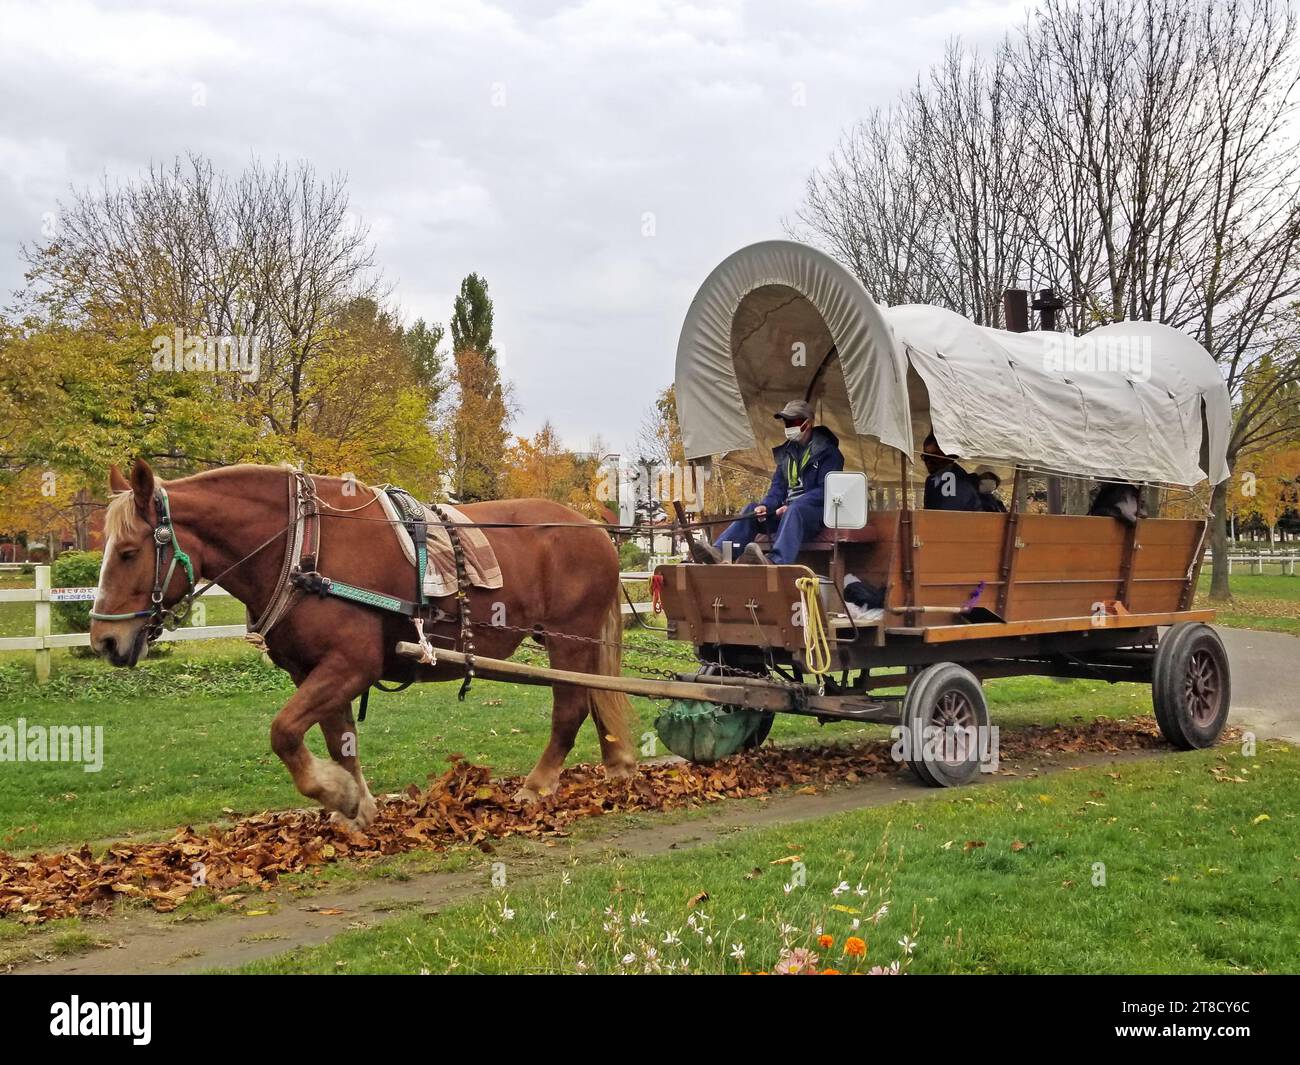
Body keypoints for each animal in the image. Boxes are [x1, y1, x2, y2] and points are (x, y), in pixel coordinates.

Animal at [89, 459, 639, 828]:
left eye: (129, 552)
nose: (104, 639)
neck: (303, 547)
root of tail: (597, 531)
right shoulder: (315, 669)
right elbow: (339, 739)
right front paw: (356, 804)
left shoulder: (351, 664)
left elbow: (284, 732)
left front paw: (337, 794)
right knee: (594, 699)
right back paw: (617, 767)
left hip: (571, 638)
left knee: (570, 708)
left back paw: (538, 784)